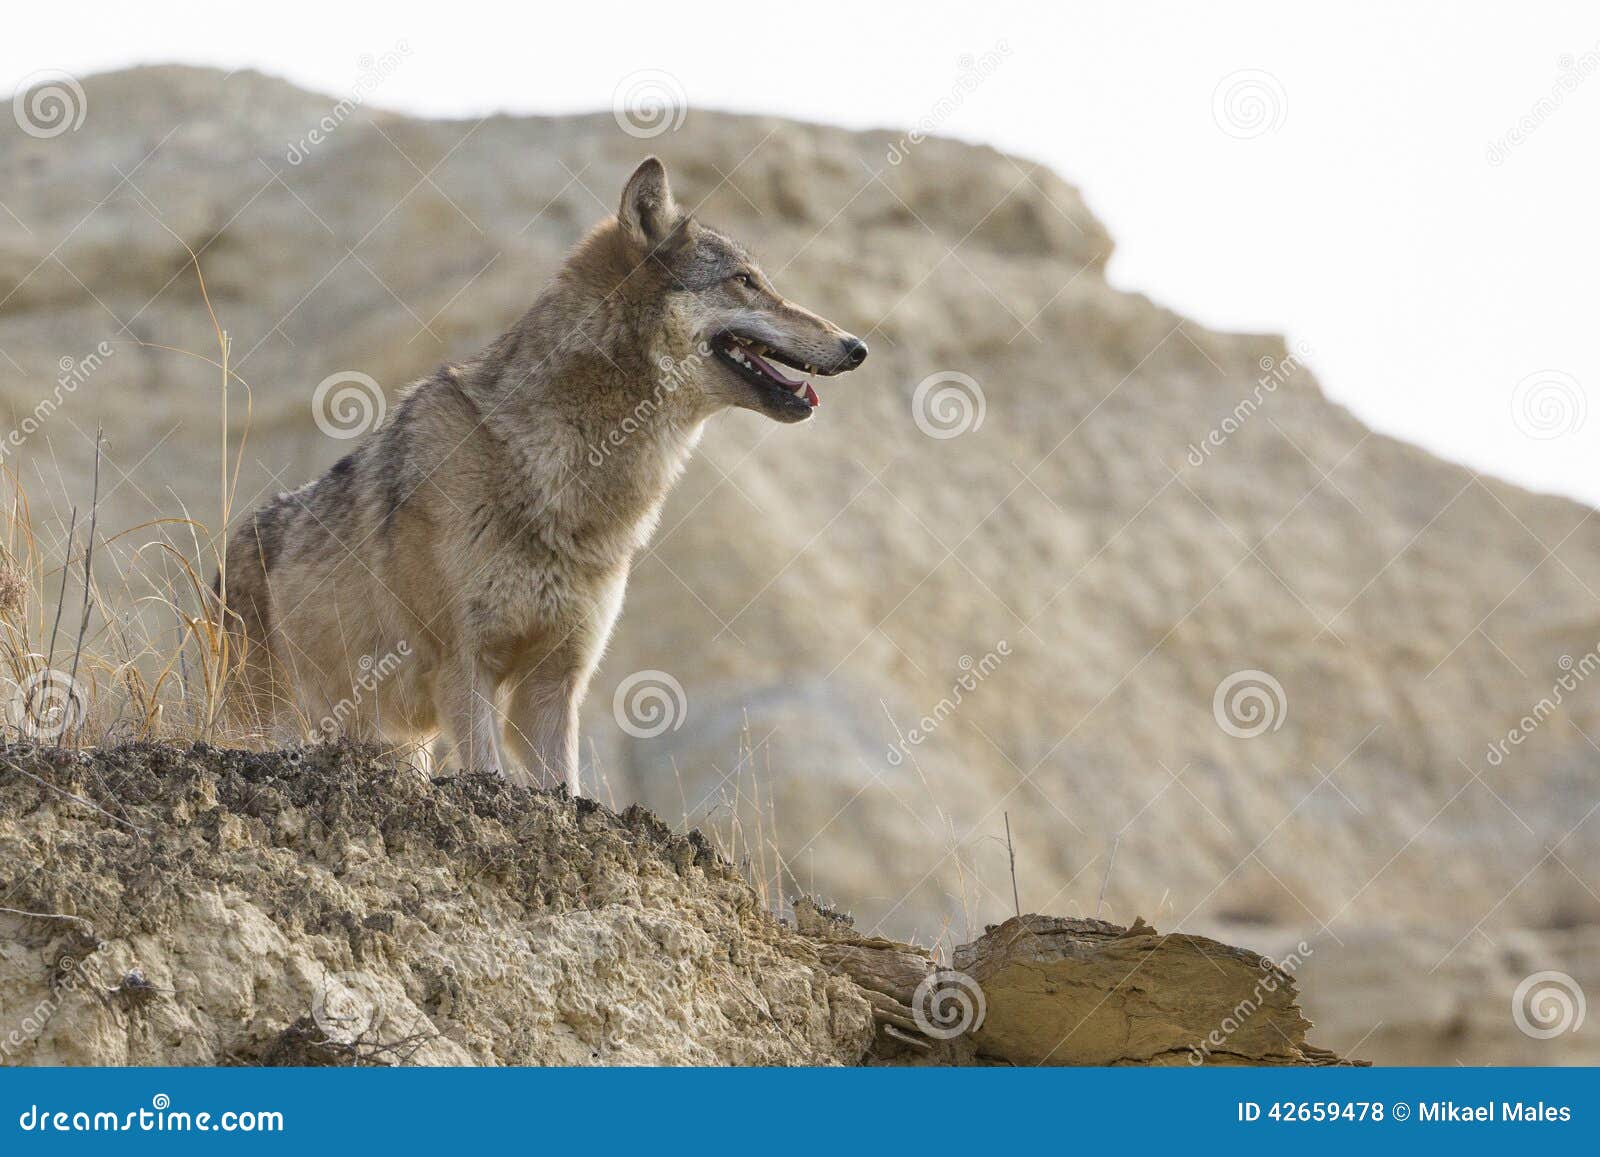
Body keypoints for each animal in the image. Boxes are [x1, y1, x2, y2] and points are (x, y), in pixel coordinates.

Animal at [217, 158, 868, 792]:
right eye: (746, 281)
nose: (857, 346)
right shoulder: (464, 665)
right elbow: (488, 771)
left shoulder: (554, 682)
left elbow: (564, 788)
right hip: (275, 720)